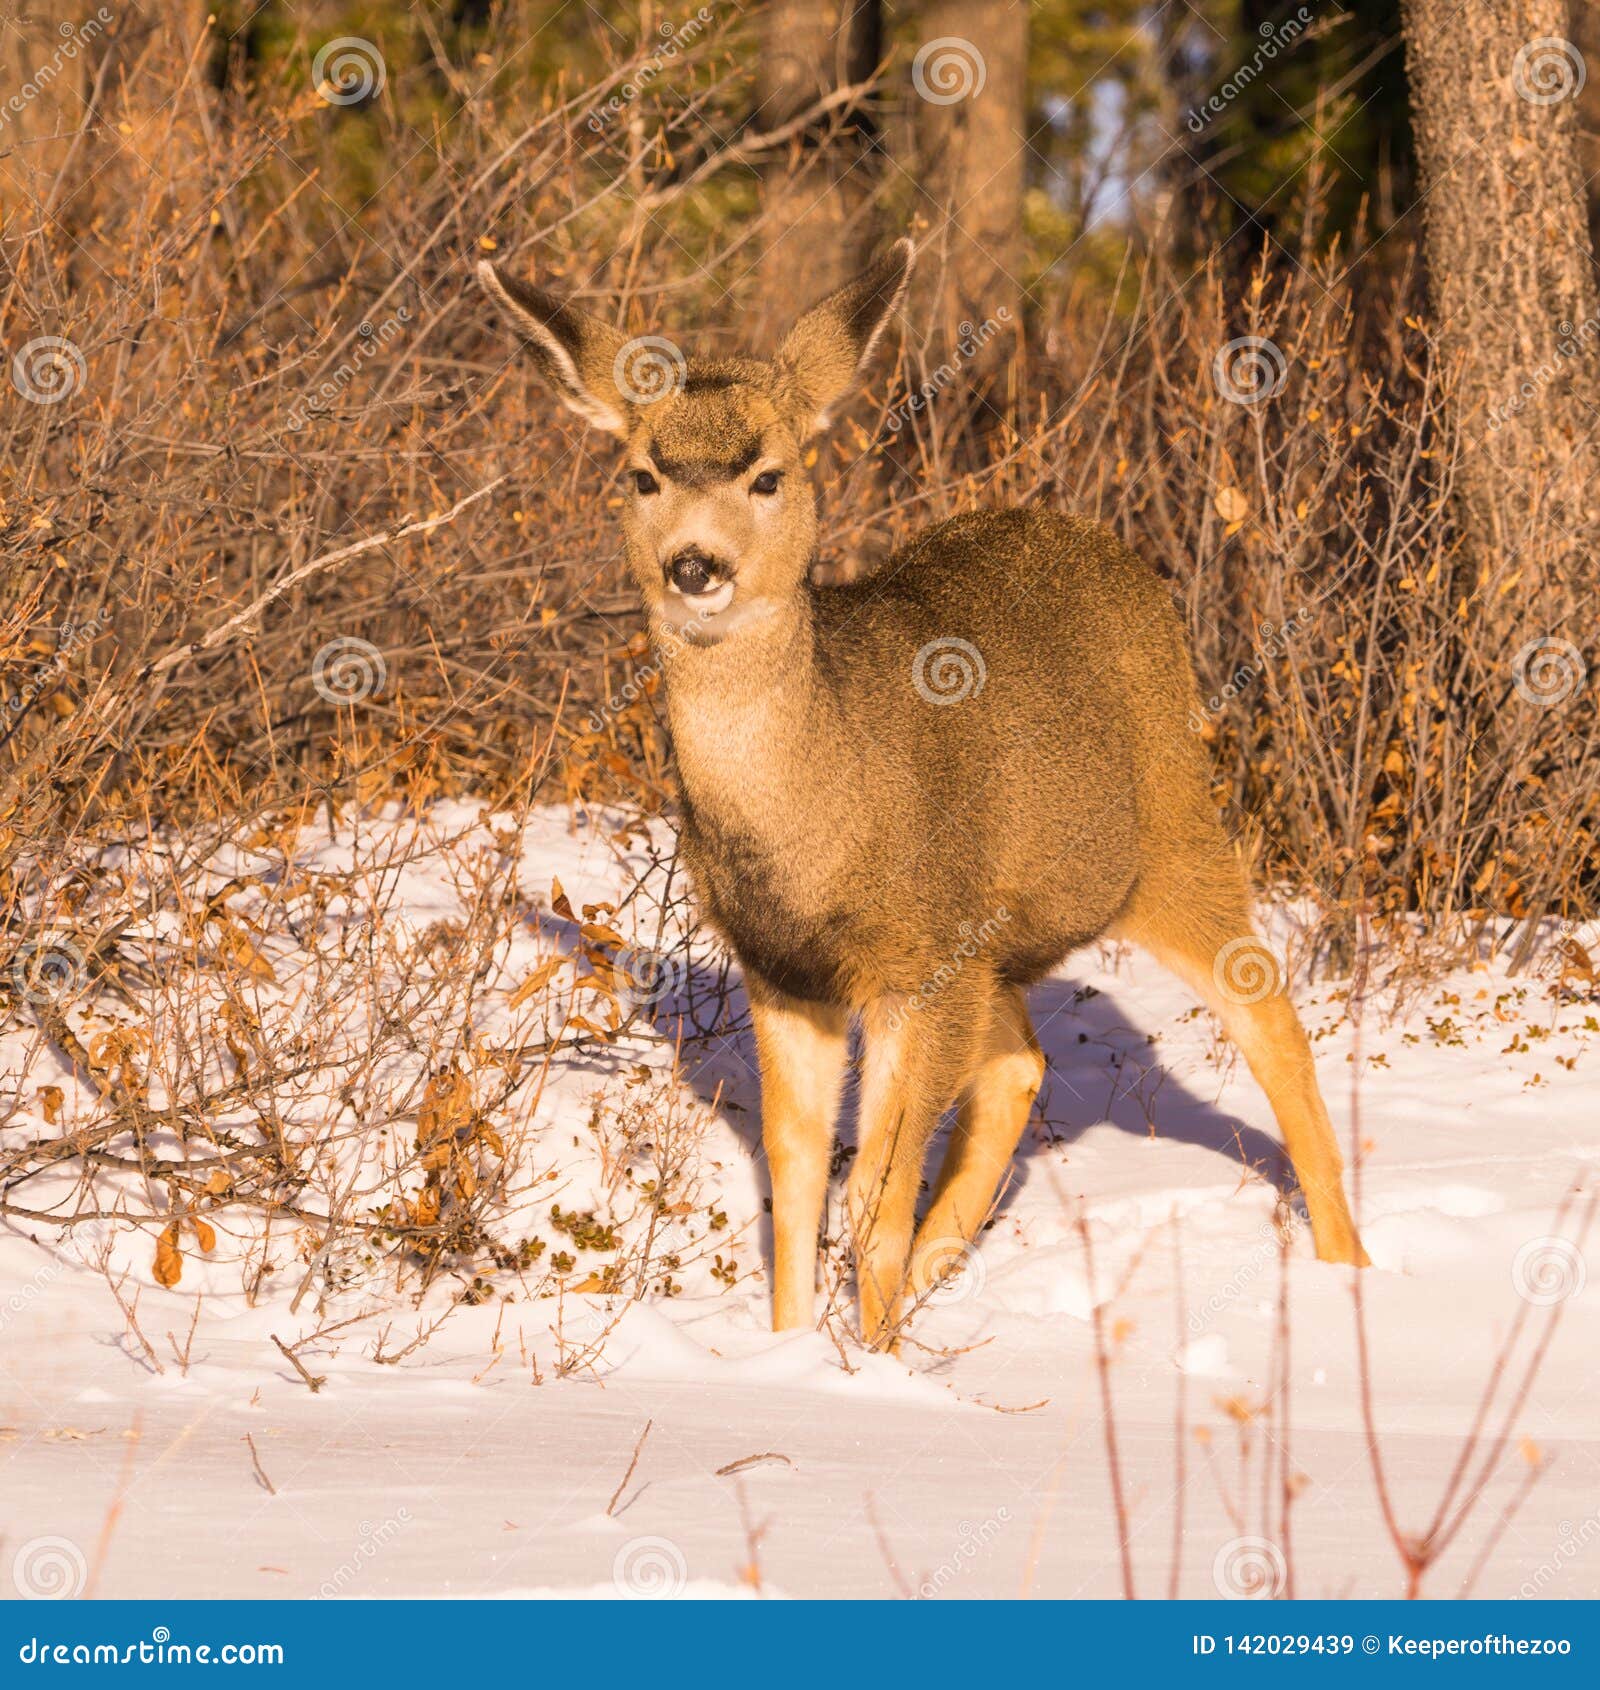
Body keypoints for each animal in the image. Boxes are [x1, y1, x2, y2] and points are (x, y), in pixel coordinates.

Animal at [477, 238, 1368, 1351]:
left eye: (769, 474)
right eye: (641, 474)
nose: (695, 564)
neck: (817, 823)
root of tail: (1105, 547)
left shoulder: (921, 962)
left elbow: (873, 1194)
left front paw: (873, 1362)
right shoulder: (789, 974)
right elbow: (797, 1178)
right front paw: (795, 1350)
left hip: (1169, 829)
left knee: (1267, 1012)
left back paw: (1346, 1267)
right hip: (1001, 942)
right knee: (1021, 1063)